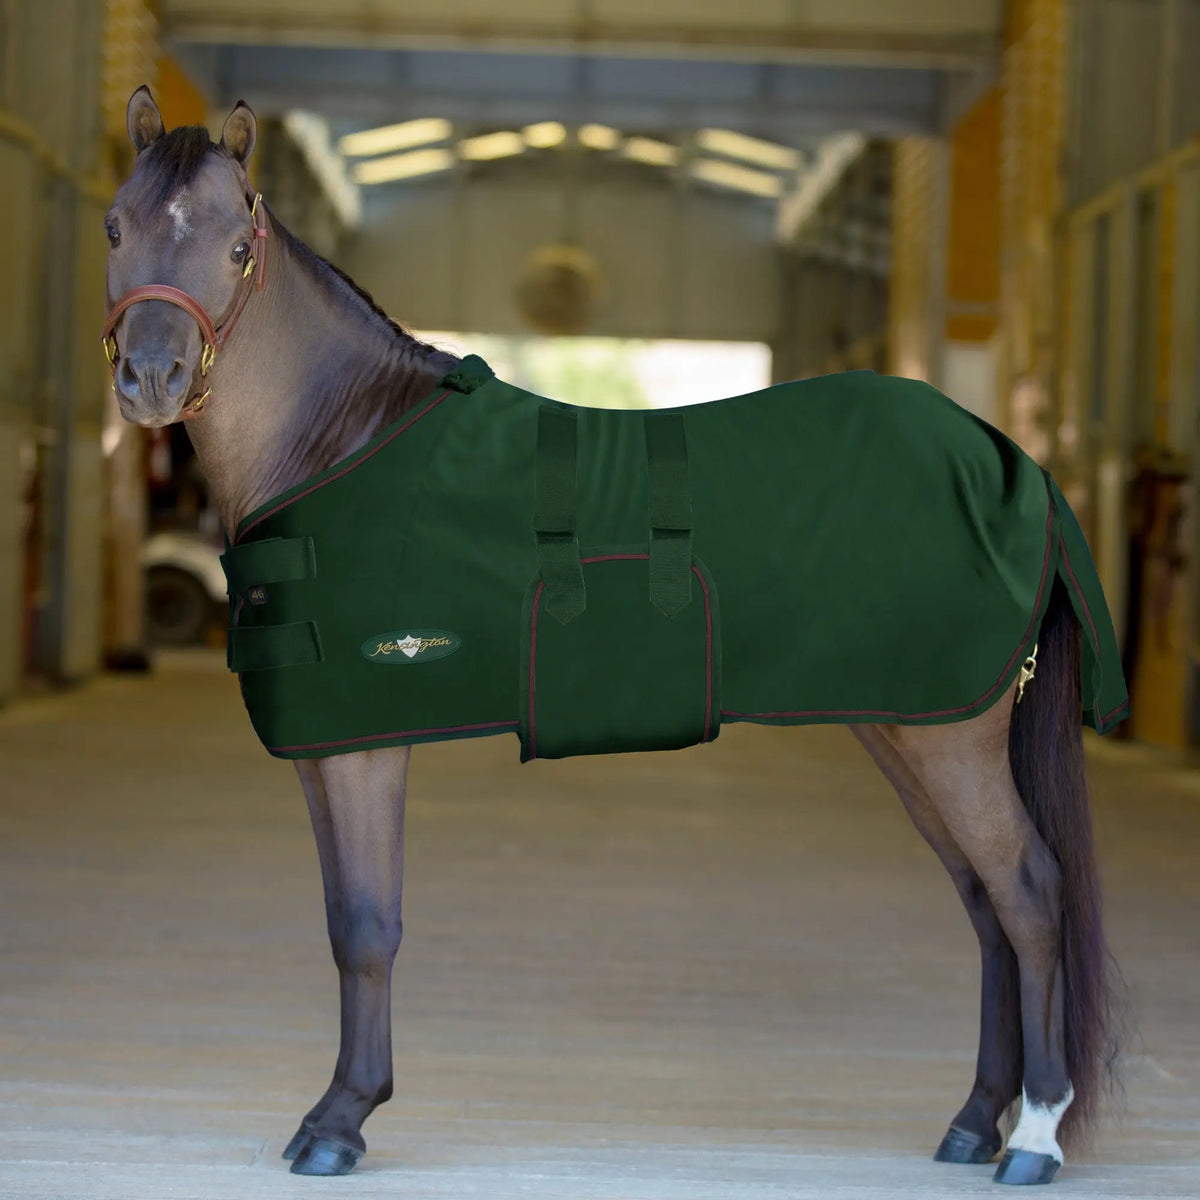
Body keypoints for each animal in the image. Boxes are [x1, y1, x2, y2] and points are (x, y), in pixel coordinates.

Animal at [101, 87, 1121, 1185]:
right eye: (115, 226)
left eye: (237, 244)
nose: (151, 378)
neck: (340, 443)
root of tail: (1010, 458)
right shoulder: (323, 751)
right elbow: (340, 921)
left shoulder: (369, 746)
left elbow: (369, 926)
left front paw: (340, 1121)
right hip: (905, 725)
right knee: (984, 904)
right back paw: (975, 1120)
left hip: (951, 737)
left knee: (1028, 893)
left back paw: (1034, 1135)